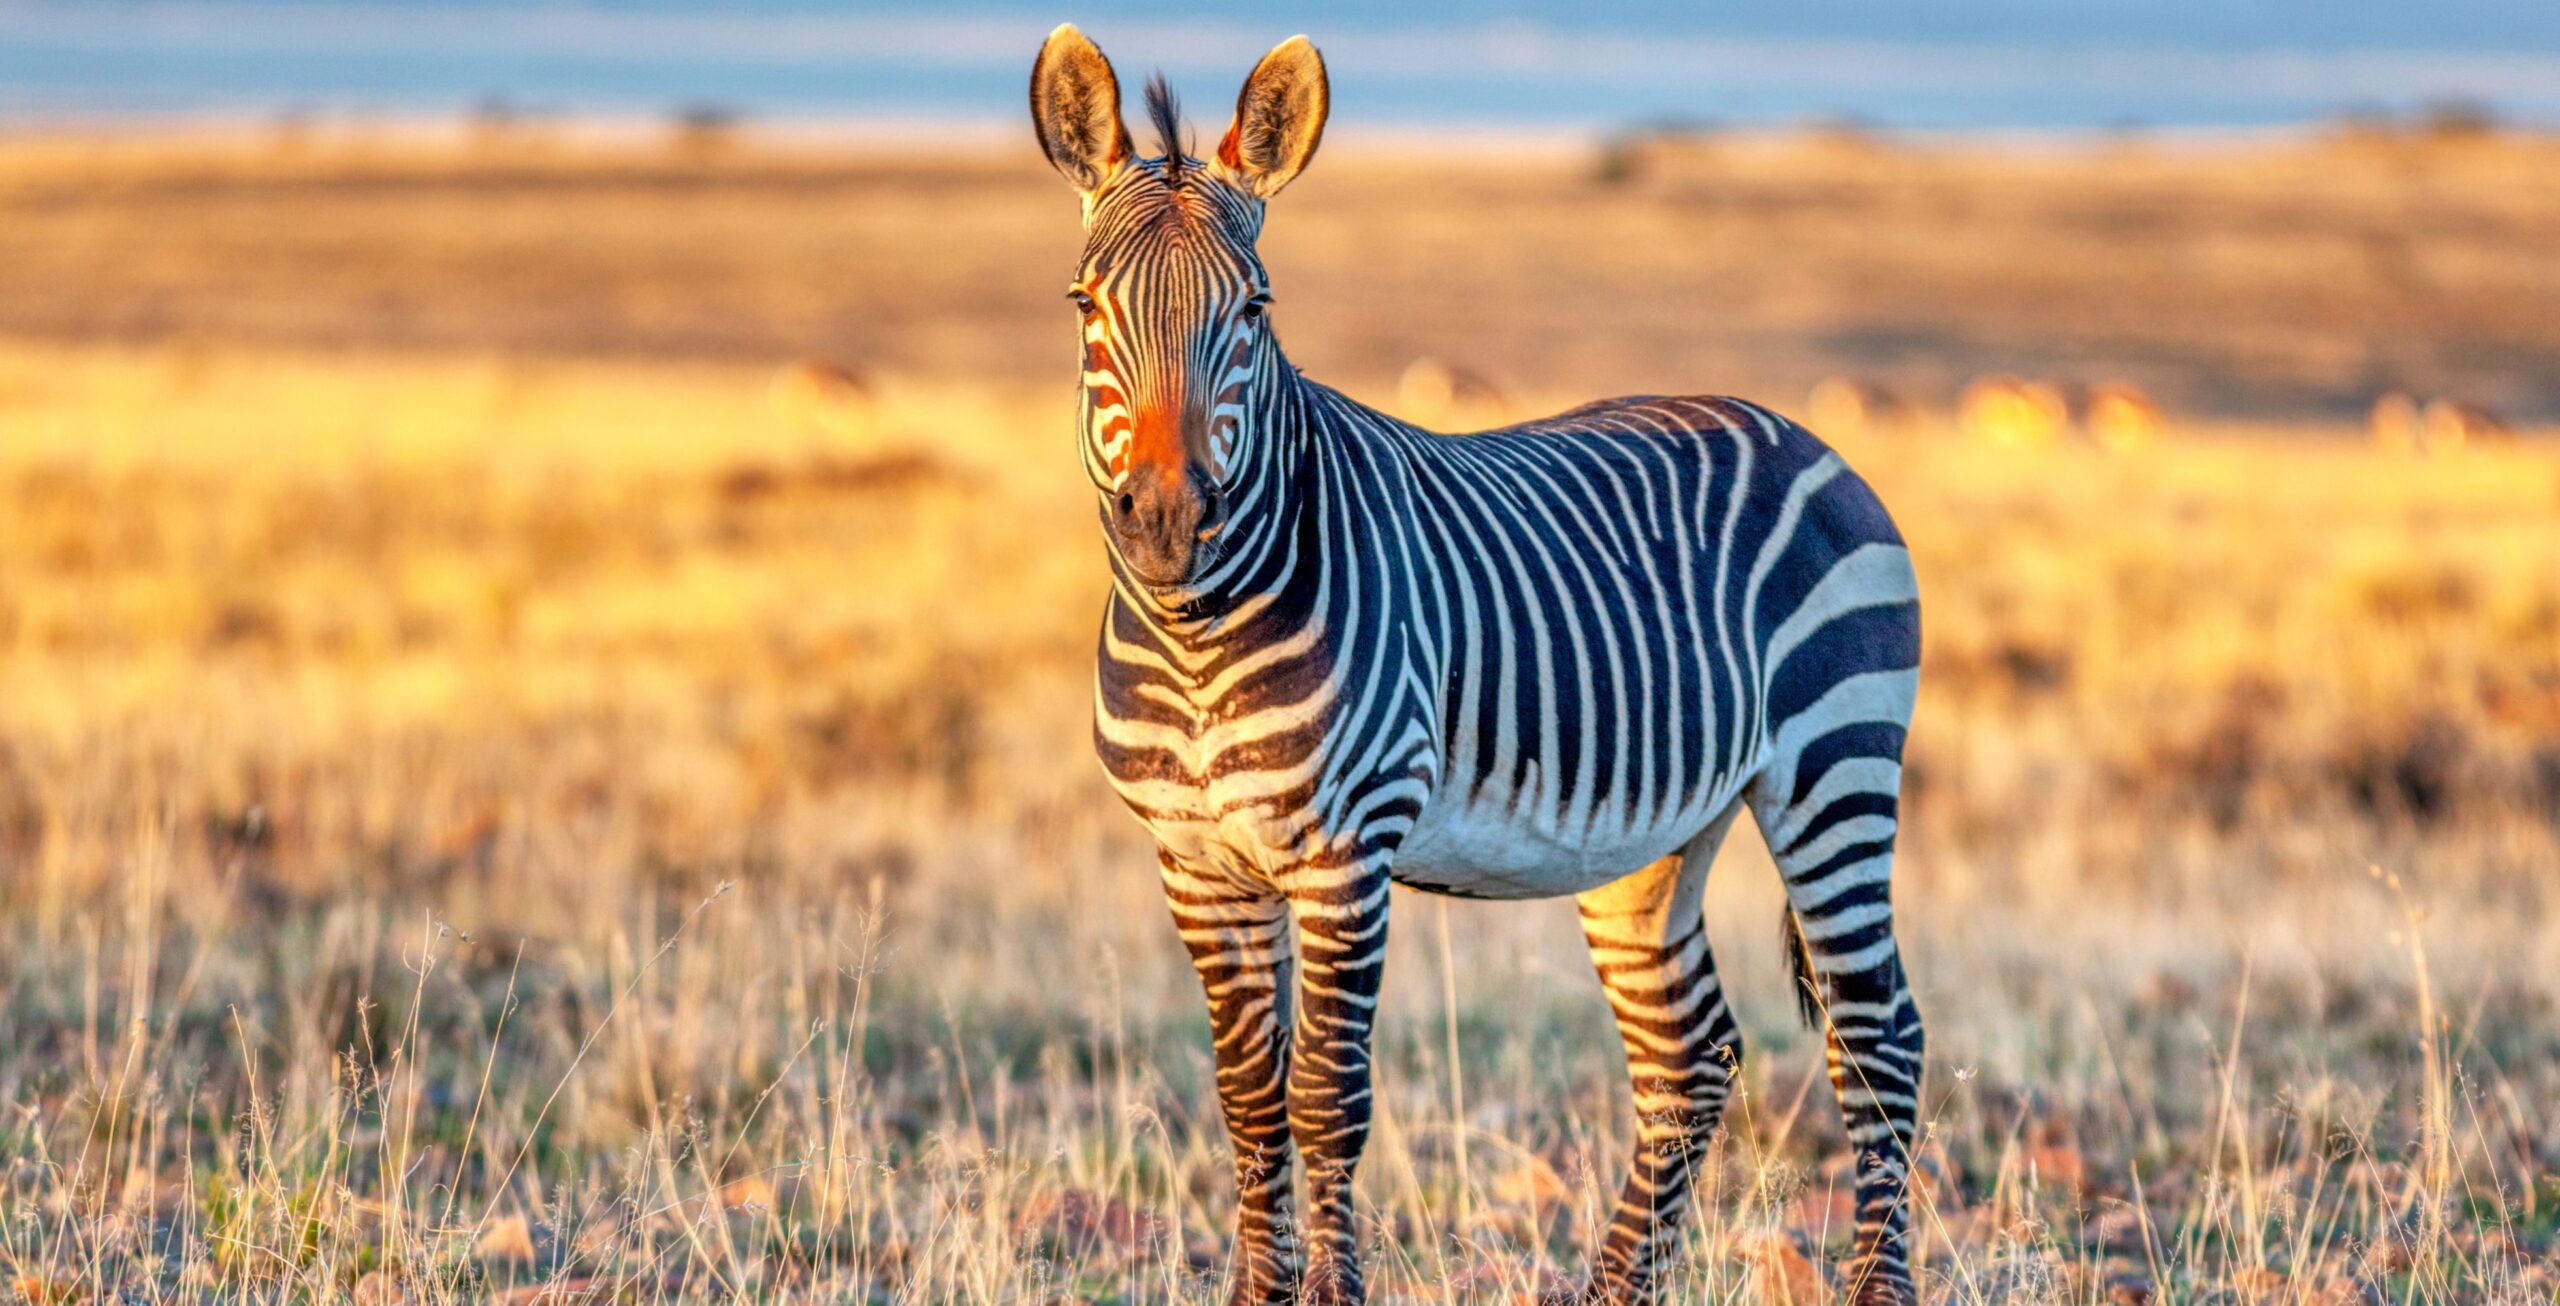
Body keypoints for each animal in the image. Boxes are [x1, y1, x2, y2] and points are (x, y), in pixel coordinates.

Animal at [1031, 26, 1927, 1306]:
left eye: (1252, 308)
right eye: (1084, 305)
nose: (1162, 522)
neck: (1196, 635)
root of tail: (1802, 433)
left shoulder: (1345, 852)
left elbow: (1325, 1098)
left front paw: (1332, 1294)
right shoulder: (1196, 862)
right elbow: (1249, 1101)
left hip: (1834, 766)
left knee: (1875, 1037)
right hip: (1650, 837)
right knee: (1690, 1054)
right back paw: (1614, 1292)